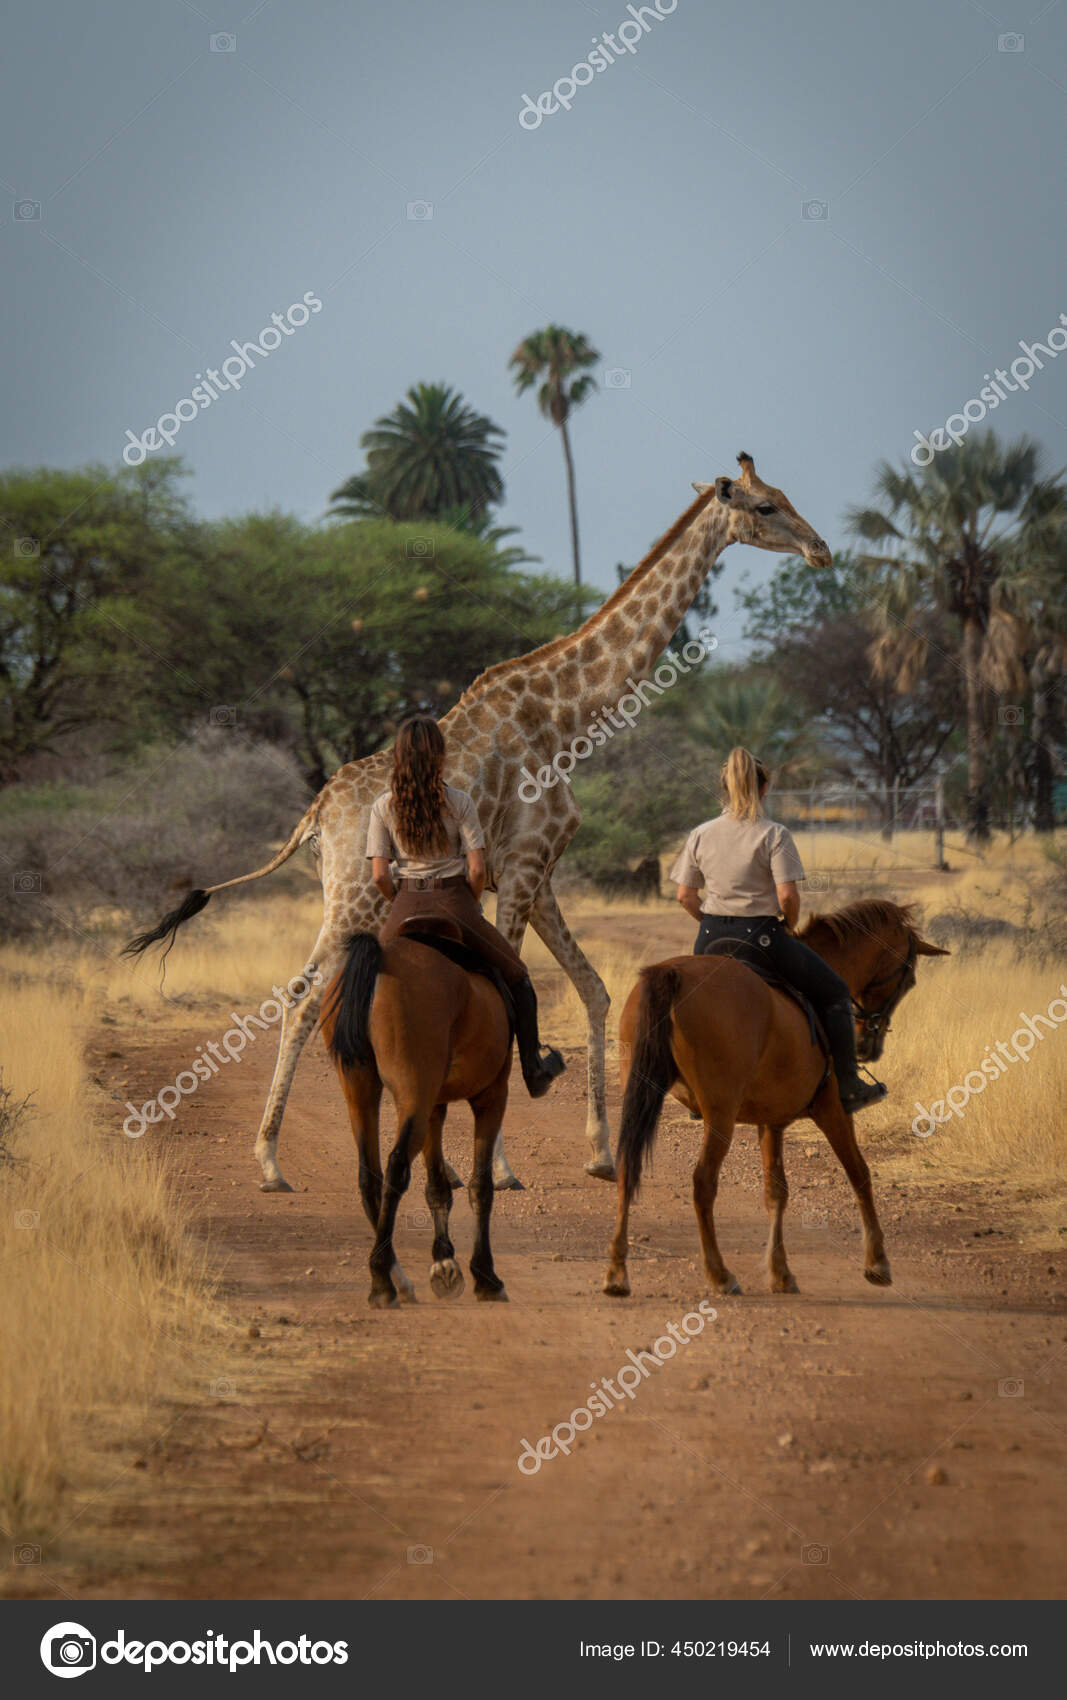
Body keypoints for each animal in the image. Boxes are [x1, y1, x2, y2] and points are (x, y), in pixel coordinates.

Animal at [126, 452, 831, 1194]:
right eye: (764, 506)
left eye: (783, 494)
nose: (821, 549)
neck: (568, 716)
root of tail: (317, 812)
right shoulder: (522, 865)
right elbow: (512, 982)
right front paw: (497, 1164)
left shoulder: (536, 873)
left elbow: (594, 990)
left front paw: (598, 1153)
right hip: (351, 892)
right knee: (299, 993)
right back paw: (268, 1160)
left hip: (347, 895)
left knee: (313, 990)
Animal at [321, 928, 515, 1309]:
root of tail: (381, 957)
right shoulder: (492, 1096)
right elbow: (480, 1187)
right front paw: (485, 1276)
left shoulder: (435, 1105)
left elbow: (437, 1185)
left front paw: (444, 1262)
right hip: (415, 1093)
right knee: (396, 1167)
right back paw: (383, 1281)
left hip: (363, 1091)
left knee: (370, 1176)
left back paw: (393, 1278)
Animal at [603, 900, 949, 1300]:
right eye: (909, 981)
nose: (867, 1045)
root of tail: (672, 973)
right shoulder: (833, 1111)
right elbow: (859, 1173)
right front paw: (877, 1262)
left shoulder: (772, 1122)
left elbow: (776, 1192)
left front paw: (781, 1272)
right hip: (720, 1116)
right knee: (703, 1183)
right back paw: (719, 1274)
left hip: (640, 1094)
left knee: (627, 1167)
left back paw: (617, 1273)